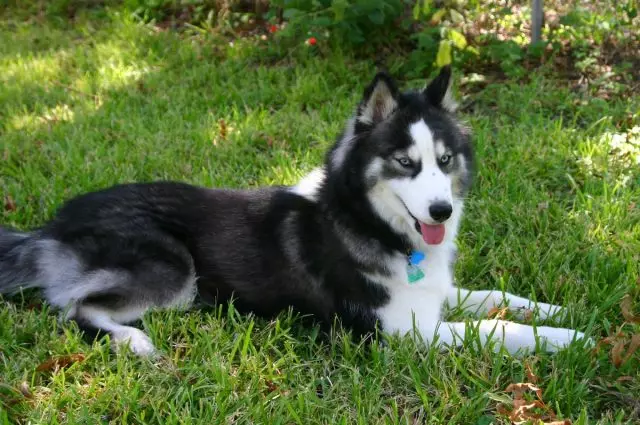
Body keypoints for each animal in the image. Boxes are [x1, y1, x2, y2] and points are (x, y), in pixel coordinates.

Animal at [1, 68, 592, 354]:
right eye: (404, 162)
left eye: (445, 160)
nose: (442, 212)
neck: (364, 221)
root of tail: (51, 226)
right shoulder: (402, 331)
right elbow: (496, 329)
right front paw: (572, 340)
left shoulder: (432, 293)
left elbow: (497, 297)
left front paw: (560, 311)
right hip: (174, 271)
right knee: (72, 308)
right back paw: (134, 341)